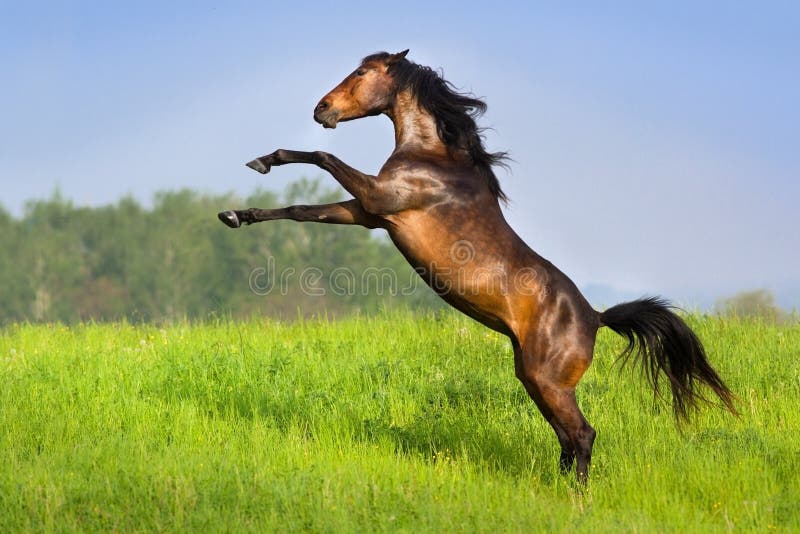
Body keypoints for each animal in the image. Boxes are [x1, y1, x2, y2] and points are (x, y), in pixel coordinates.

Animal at [218, 50, 736, 483]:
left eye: (362, 73)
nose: (321, 110)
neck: (435, 157)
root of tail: (596, 317)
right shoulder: (368, 213)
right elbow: (301, 208)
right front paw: (239, 209)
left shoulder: (380, 200)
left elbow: (323, 156)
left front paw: (261, 166)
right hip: (534, 379)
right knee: (568, 439)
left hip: (548, 381)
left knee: (583, 435)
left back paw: (577, 497)